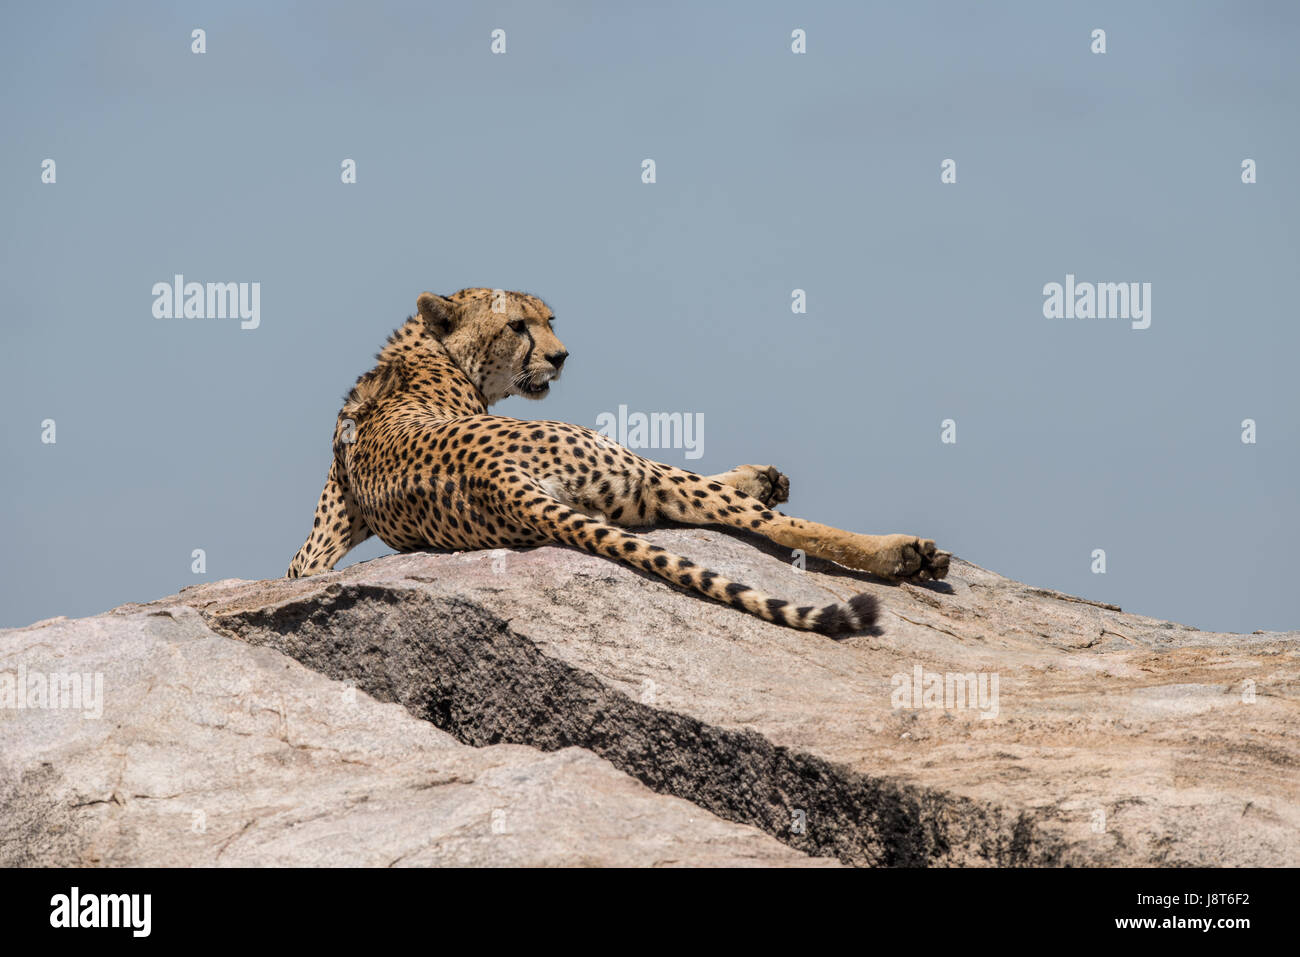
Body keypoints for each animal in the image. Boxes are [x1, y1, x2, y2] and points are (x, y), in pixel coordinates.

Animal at [287, 288, 950, 636]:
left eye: (549, 320)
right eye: (518, 325)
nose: (560, 357)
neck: (429, 352)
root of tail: (500, 481)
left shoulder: (324, 534)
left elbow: (300, 565)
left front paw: (763, 477)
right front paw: (762, 479)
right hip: (628, 466)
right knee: (777, 525)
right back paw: (904, 553)